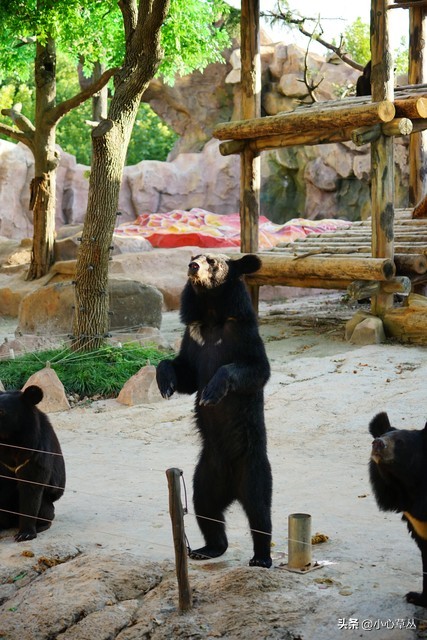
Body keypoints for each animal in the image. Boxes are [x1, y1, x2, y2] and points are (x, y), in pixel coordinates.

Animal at [0, 385, 66, 542]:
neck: (10, 440)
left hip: (47, 503)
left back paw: (41, 525)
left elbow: (31, 487)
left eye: (1, 411)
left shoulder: (35, 451)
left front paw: (25, 534)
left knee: (45, 510)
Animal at [156, 253, 273, 568]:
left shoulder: (243, 334)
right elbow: (184, 370)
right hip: (206, 472)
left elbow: (255, 368)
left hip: (253, 467)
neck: (211, 312)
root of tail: (231, 488)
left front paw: (211, 393)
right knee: (205, 507)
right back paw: (206, 548)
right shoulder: (192, 336)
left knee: (259, 510)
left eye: (211, 261)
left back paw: (261, 557)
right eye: (192, 257)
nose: (193, 267)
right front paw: (165, 384)